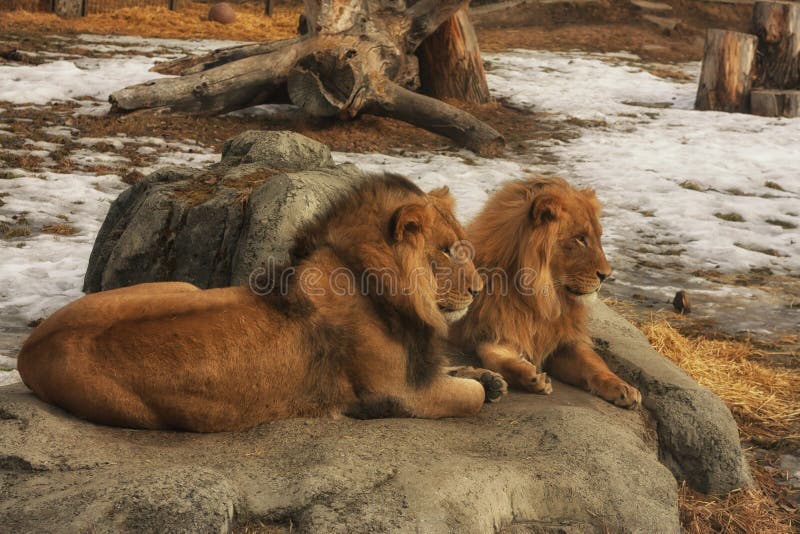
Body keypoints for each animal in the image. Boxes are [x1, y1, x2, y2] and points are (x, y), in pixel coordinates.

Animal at [17, 174, 506, 432]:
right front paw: (482, 385)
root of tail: (26, 349)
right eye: (447, 251)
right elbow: (469, 399)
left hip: (183, 286)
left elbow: (459, 375)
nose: (478, 288)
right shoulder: (400, 394)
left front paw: (489, 376)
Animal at [451, 177, 641, 409]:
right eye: (580, 239)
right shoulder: (492, 332)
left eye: (599, 237)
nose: (606, 275)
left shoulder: (563, 341)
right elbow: (496, 359)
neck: (541, 299)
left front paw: (623, 388)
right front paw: (530, 377)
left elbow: (594, 363)